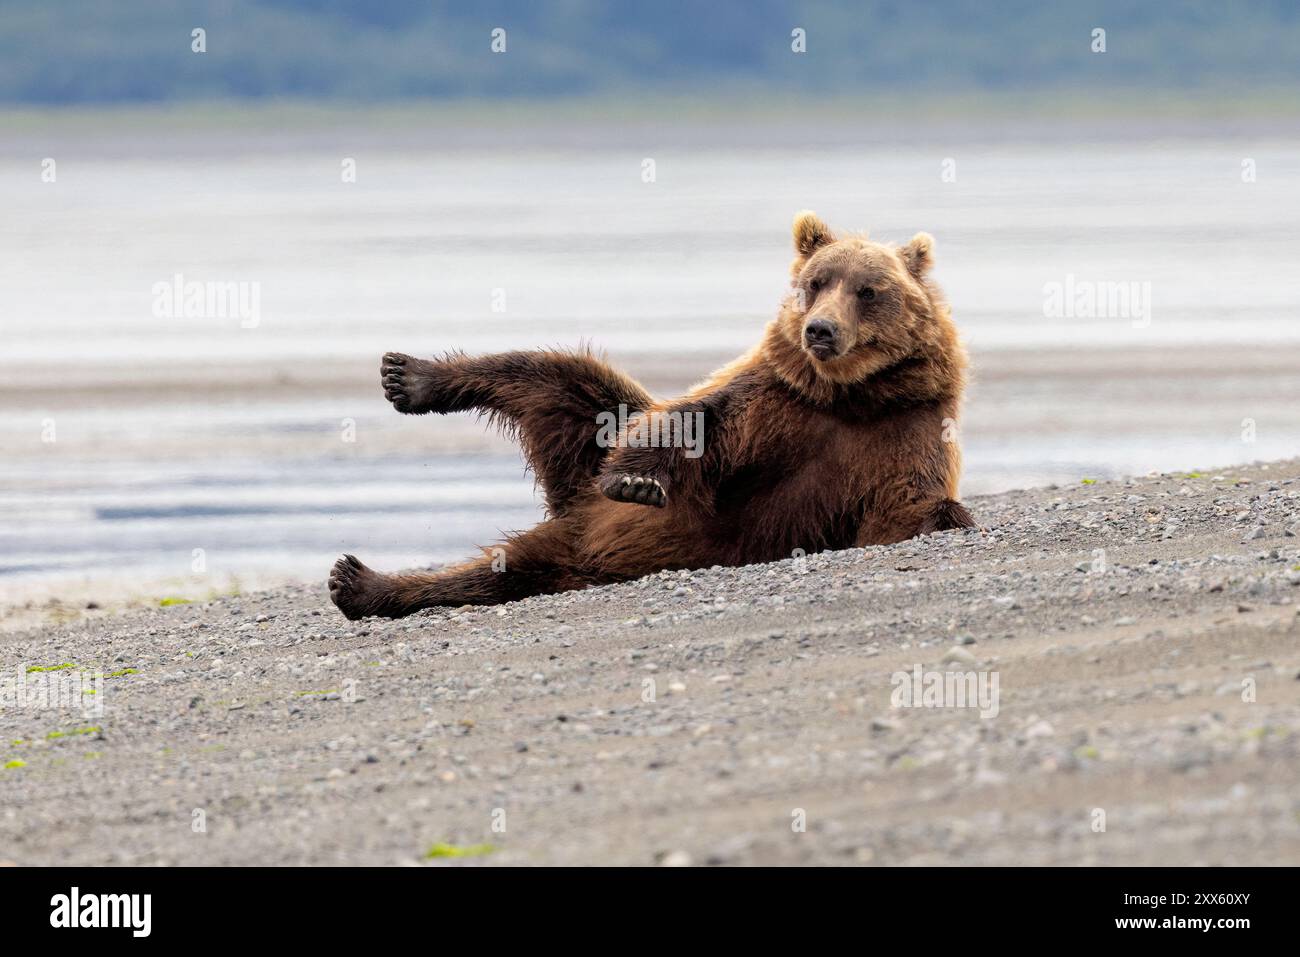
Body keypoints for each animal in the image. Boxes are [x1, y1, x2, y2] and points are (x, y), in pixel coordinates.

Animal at [329, 211, 975, 620]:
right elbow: (693, 423)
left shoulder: (904, 432)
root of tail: (575, 524)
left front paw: (945, 518)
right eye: (816, 282)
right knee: (552, 372)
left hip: (566, 554)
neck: (847, 398)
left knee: (503, 573)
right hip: (586, 442)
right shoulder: (773, 400)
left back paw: (360, 582)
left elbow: (907, 505)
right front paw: (636, 482)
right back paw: (409, 380)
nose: (820, 329)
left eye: (867, 289)